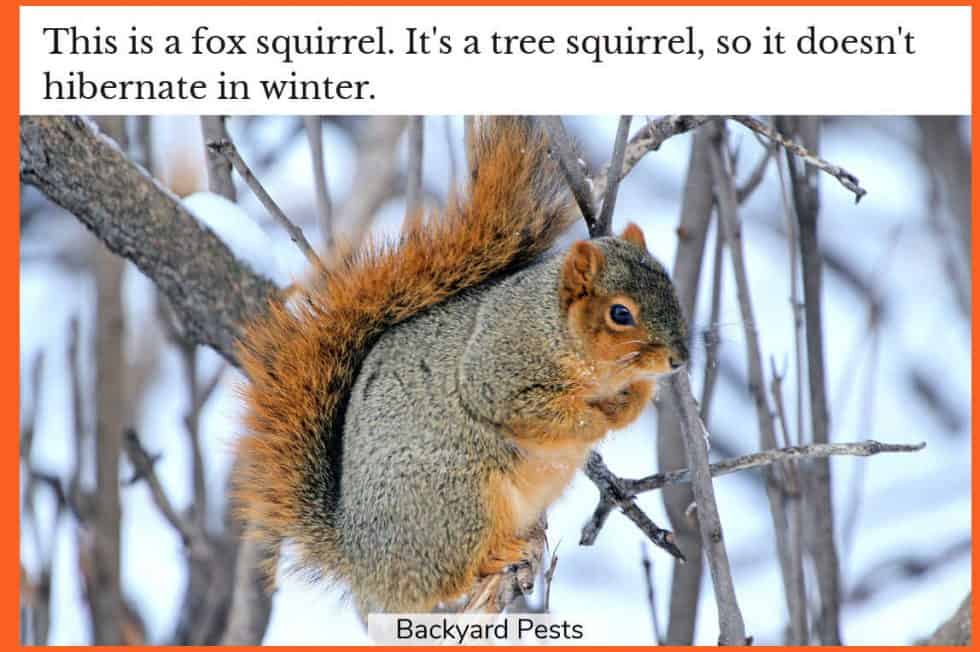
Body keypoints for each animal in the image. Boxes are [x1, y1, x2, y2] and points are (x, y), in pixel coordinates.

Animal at [234, 116, 689, 615]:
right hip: (459, 499)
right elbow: (536, 412)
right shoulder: (498, 371)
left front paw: (633, 401)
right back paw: (496, 557)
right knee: (448, 578)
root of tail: (360, 560)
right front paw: (596, 421)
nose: (680, 360)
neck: (560, 333)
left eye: (671, 284)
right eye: (620, 313)